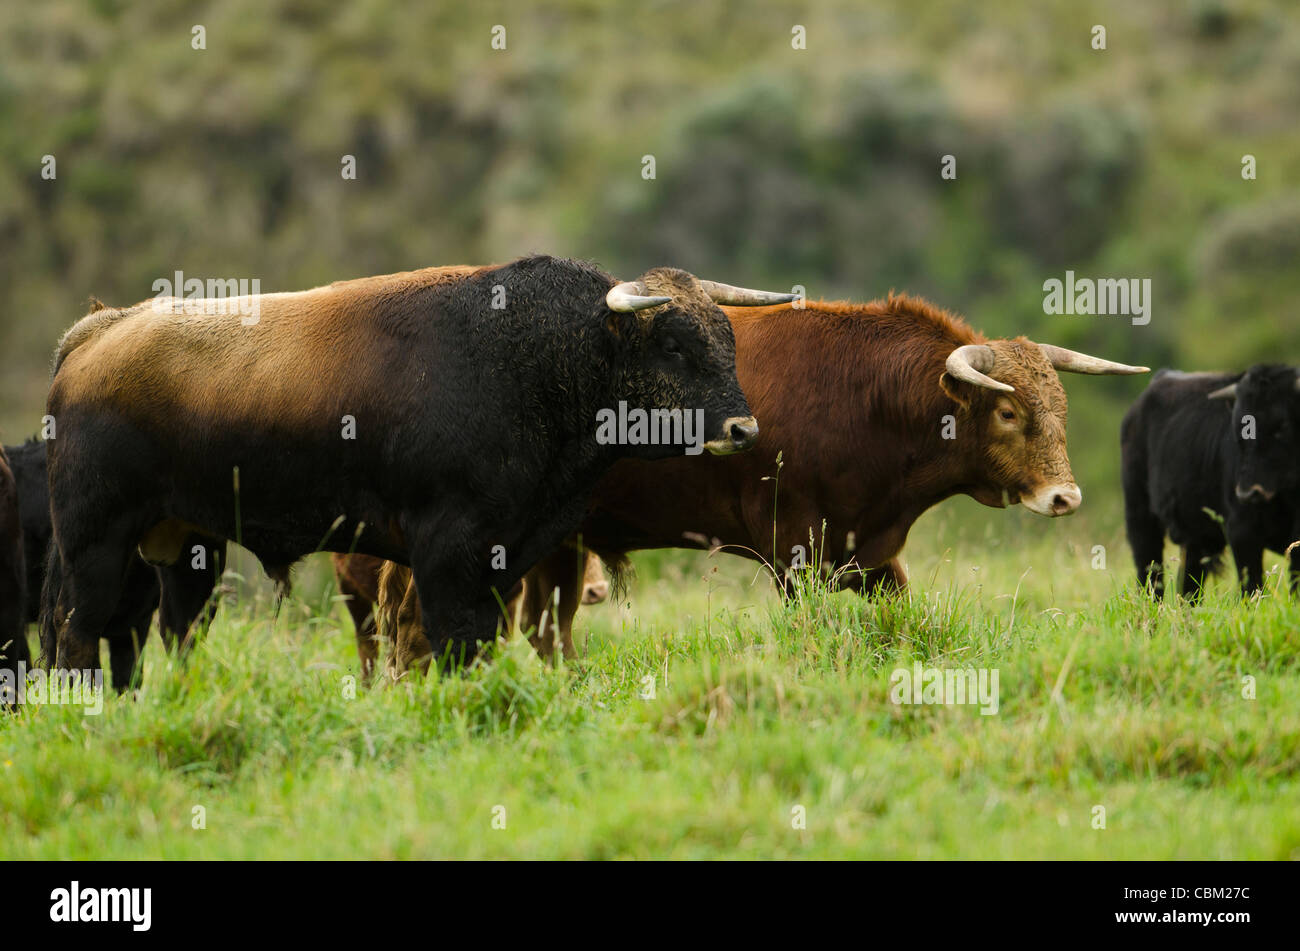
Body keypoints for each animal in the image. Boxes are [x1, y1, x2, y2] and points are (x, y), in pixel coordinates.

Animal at [41, 255, 791, 671]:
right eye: (673, 345)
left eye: (726, 338)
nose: (743, 428)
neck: (532, 359)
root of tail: (100, 330)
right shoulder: (445, 551)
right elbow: (452, 642)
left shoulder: (507, 555)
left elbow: (483, 640)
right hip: (95, 544)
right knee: (77, 633)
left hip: (185, 548)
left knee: (174, 634)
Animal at [1121, 365, 1300, 599]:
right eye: (1238, 429)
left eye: (1282, 426)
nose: (1248, 493)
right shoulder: (1241, 531)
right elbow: (1252, 586)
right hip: (1140, 517)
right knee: (1150, 574)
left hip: (1196, 538)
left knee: (1188, 587)